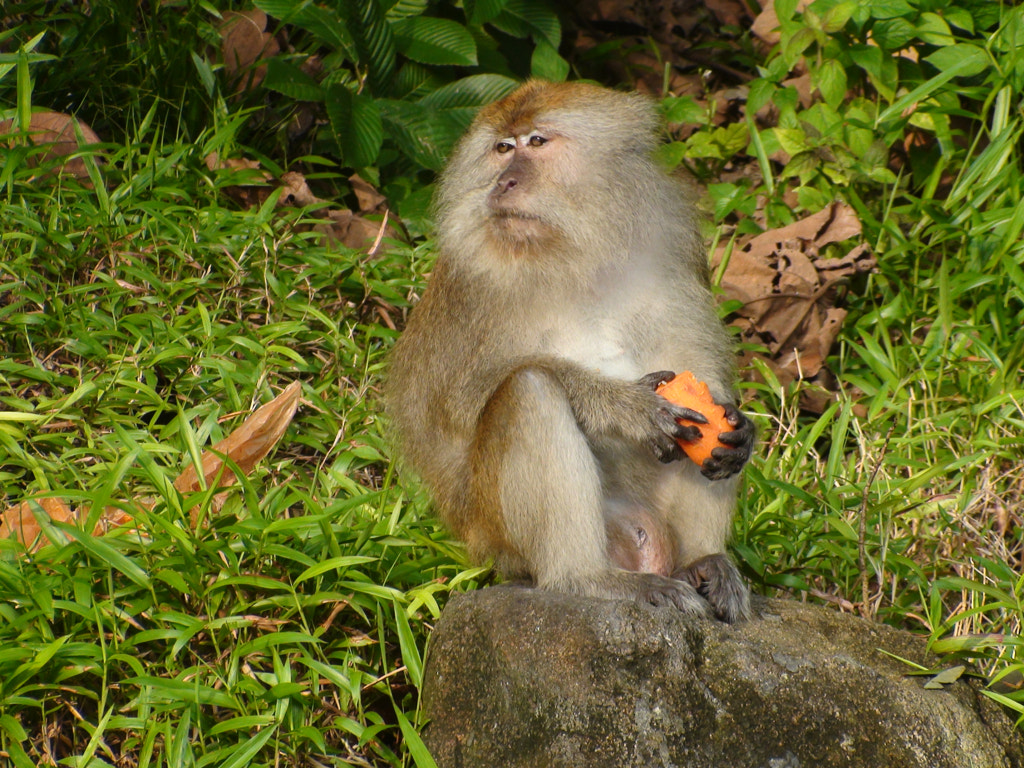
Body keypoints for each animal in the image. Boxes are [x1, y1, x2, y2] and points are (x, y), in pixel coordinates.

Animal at [386, 80, 755, 622]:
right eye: (502, 148)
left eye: (536, 142)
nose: (503, 183)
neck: (572, 255)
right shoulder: (468, 287)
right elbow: (455, 412)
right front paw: (626, 406)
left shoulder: (675, 249)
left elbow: (700, 377)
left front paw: (739, 426)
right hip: (499, 537)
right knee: (529, 390)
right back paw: (586, 578)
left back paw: (703, 563)